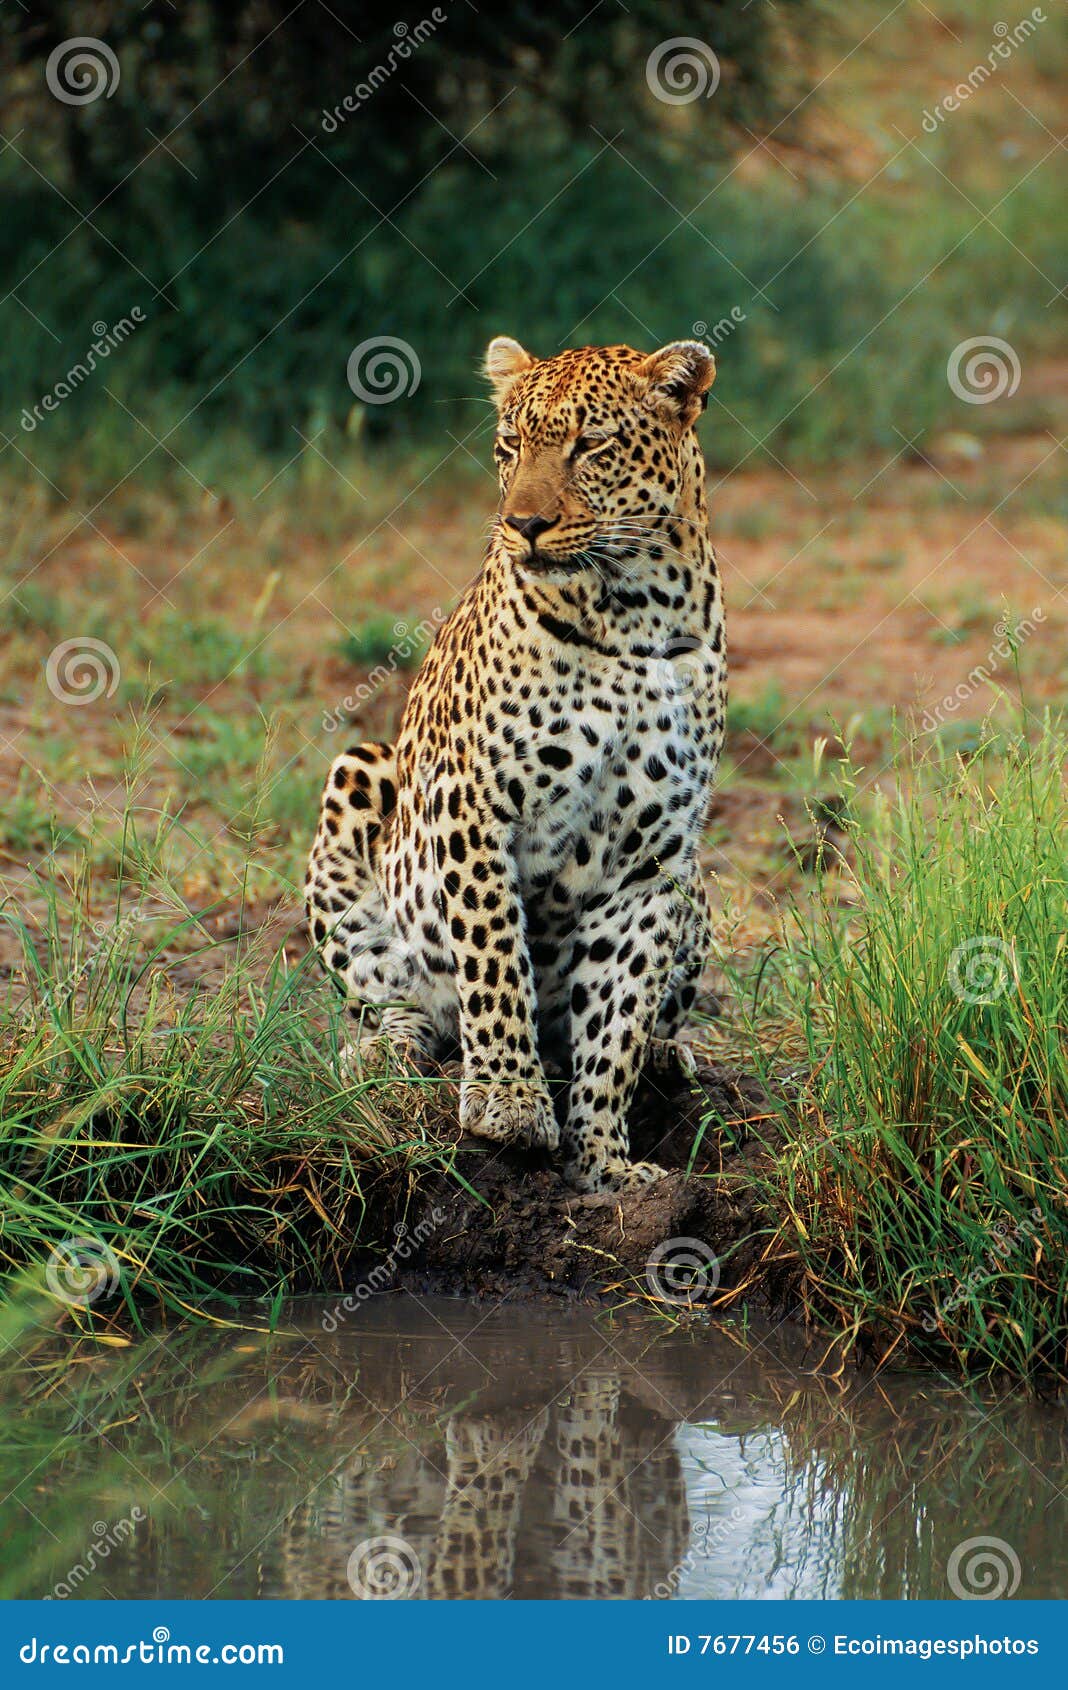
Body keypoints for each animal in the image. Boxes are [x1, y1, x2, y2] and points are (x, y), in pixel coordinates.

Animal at [306, 335, 726, 1192]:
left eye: (589, 445)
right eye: (508, 446)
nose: (523, 525)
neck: (634, 610)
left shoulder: (656, 860)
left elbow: (617, 1022)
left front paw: (606, 1165)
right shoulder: (472, 800)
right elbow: (494, 954)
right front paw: (509, 1105)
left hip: (700, 888)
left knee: (649, 1019)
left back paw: (668, 1055)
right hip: (360, 776)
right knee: (410, 1003)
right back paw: (384, 1051)